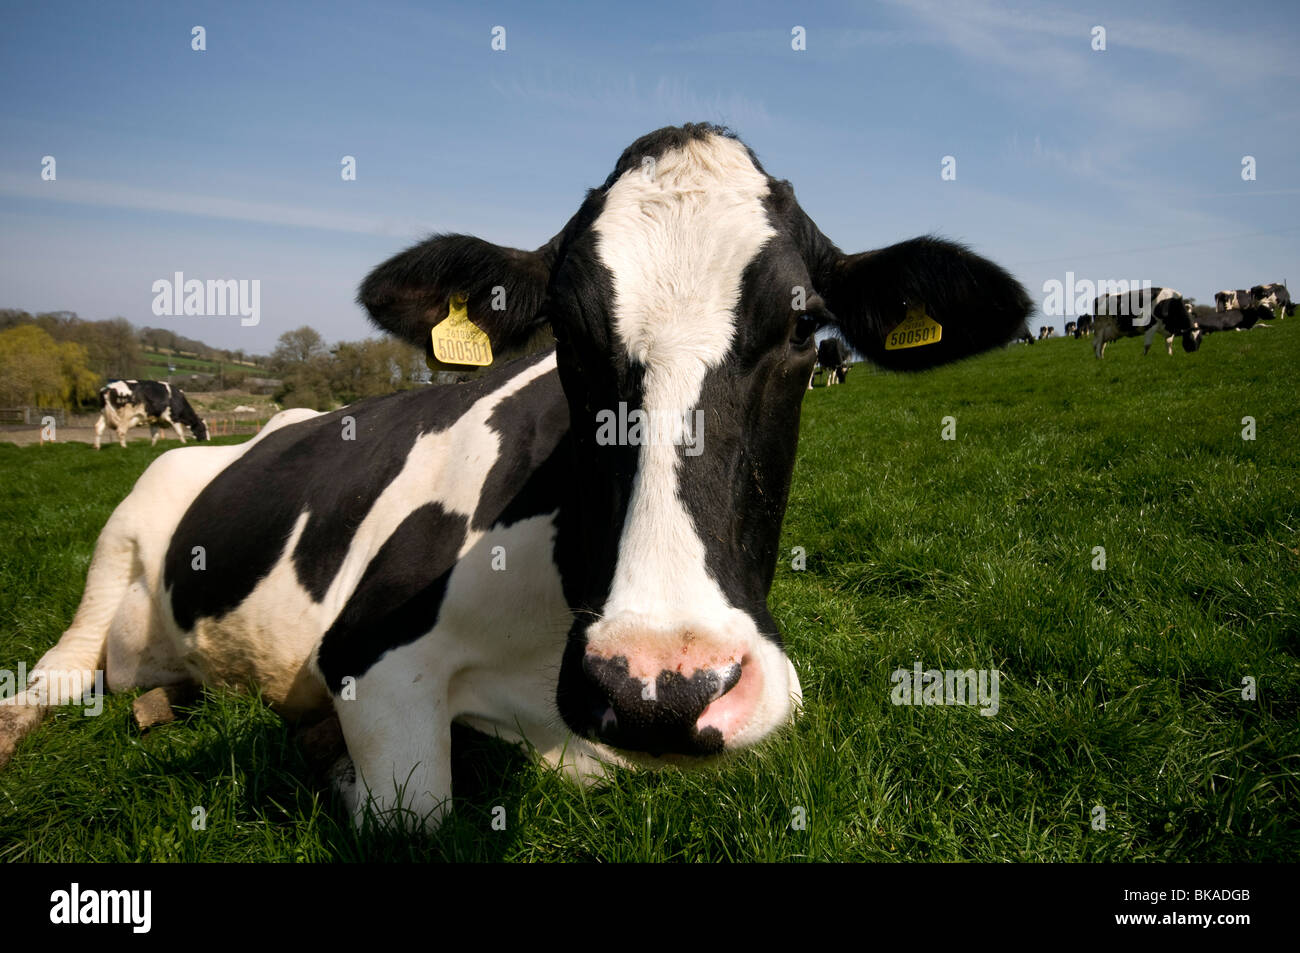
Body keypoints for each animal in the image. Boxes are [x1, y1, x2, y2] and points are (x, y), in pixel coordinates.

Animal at [0, 124, 1033, 833]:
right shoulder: (364, 651)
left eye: (804, 327)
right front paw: (324, 750)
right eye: (566, 332)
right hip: (128, 523)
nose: (658, 685)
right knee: (62, 667)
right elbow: (412, 806)